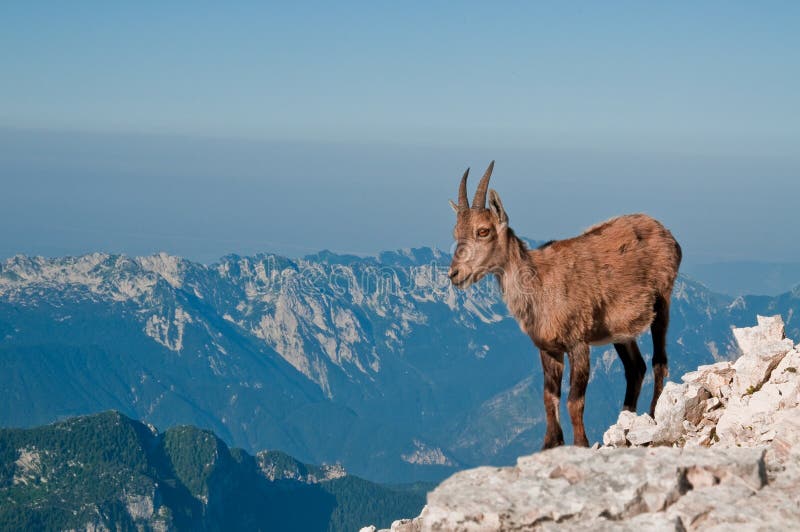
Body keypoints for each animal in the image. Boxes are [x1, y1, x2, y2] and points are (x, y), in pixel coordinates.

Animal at [448, 162, 682, 448]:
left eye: (483, 231)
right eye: (455, 232)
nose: (455, 274)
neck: (540, 285)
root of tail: (666, 233)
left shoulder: (578, 343)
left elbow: (574, 401)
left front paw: (580, 444)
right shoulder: (548, 349)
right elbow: (549, 398)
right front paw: (550, 444)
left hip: (662, 302)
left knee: (659, 361)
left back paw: (652, 415)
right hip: (620, 329)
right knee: (635, 367)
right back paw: (624, 419)